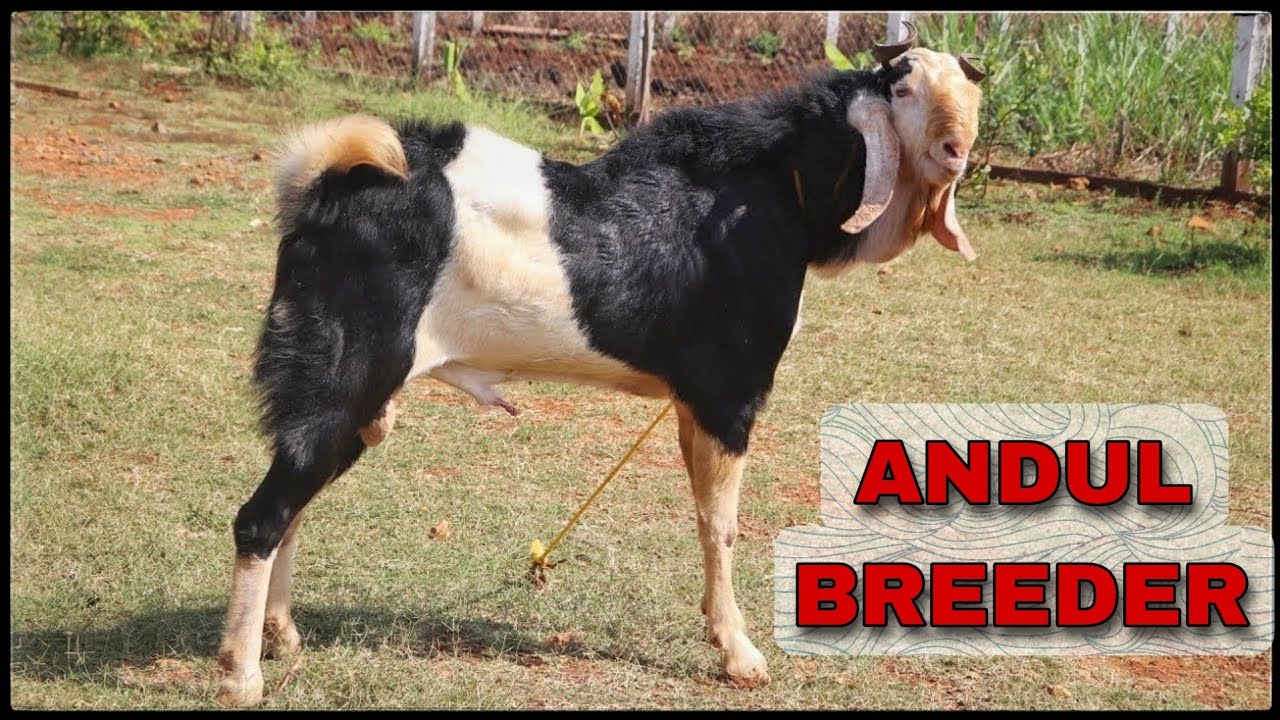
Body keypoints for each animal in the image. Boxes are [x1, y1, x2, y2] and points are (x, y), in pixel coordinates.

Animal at [216, 26, 984, 706]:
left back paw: (282, 638)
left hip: (354, 409)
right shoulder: (730, 398)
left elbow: (703, 518)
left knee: (293, 507)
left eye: (968, 88)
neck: (779, 185)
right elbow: (725, 526)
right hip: (335, 387)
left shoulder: (690, 403)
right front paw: (741, 655)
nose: (957, 151)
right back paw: (241, 674)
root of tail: (324, 185)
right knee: (261, 519)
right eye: (904, 86)